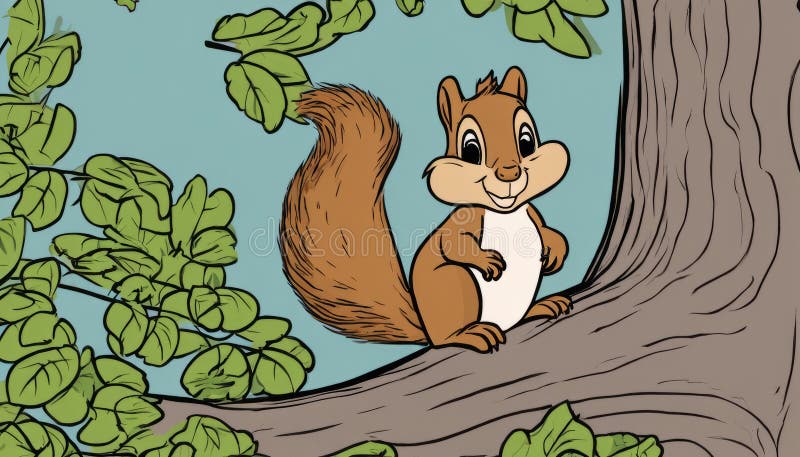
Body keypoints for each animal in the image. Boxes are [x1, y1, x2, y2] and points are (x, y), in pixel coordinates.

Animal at [280, 67, 571, 353]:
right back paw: (471, 334)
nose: (509, 173)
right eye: (470, 149)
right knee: (447, 335)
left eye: (527, 141)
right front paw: (486, 260)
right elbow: (452, 244)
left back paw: (543, 305)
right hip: (454, 283)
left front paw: (556, 248)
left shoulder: (531, 212)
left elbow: (545, 228)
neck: (505, 212)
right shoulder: (463, 221)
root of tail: (426, 328)